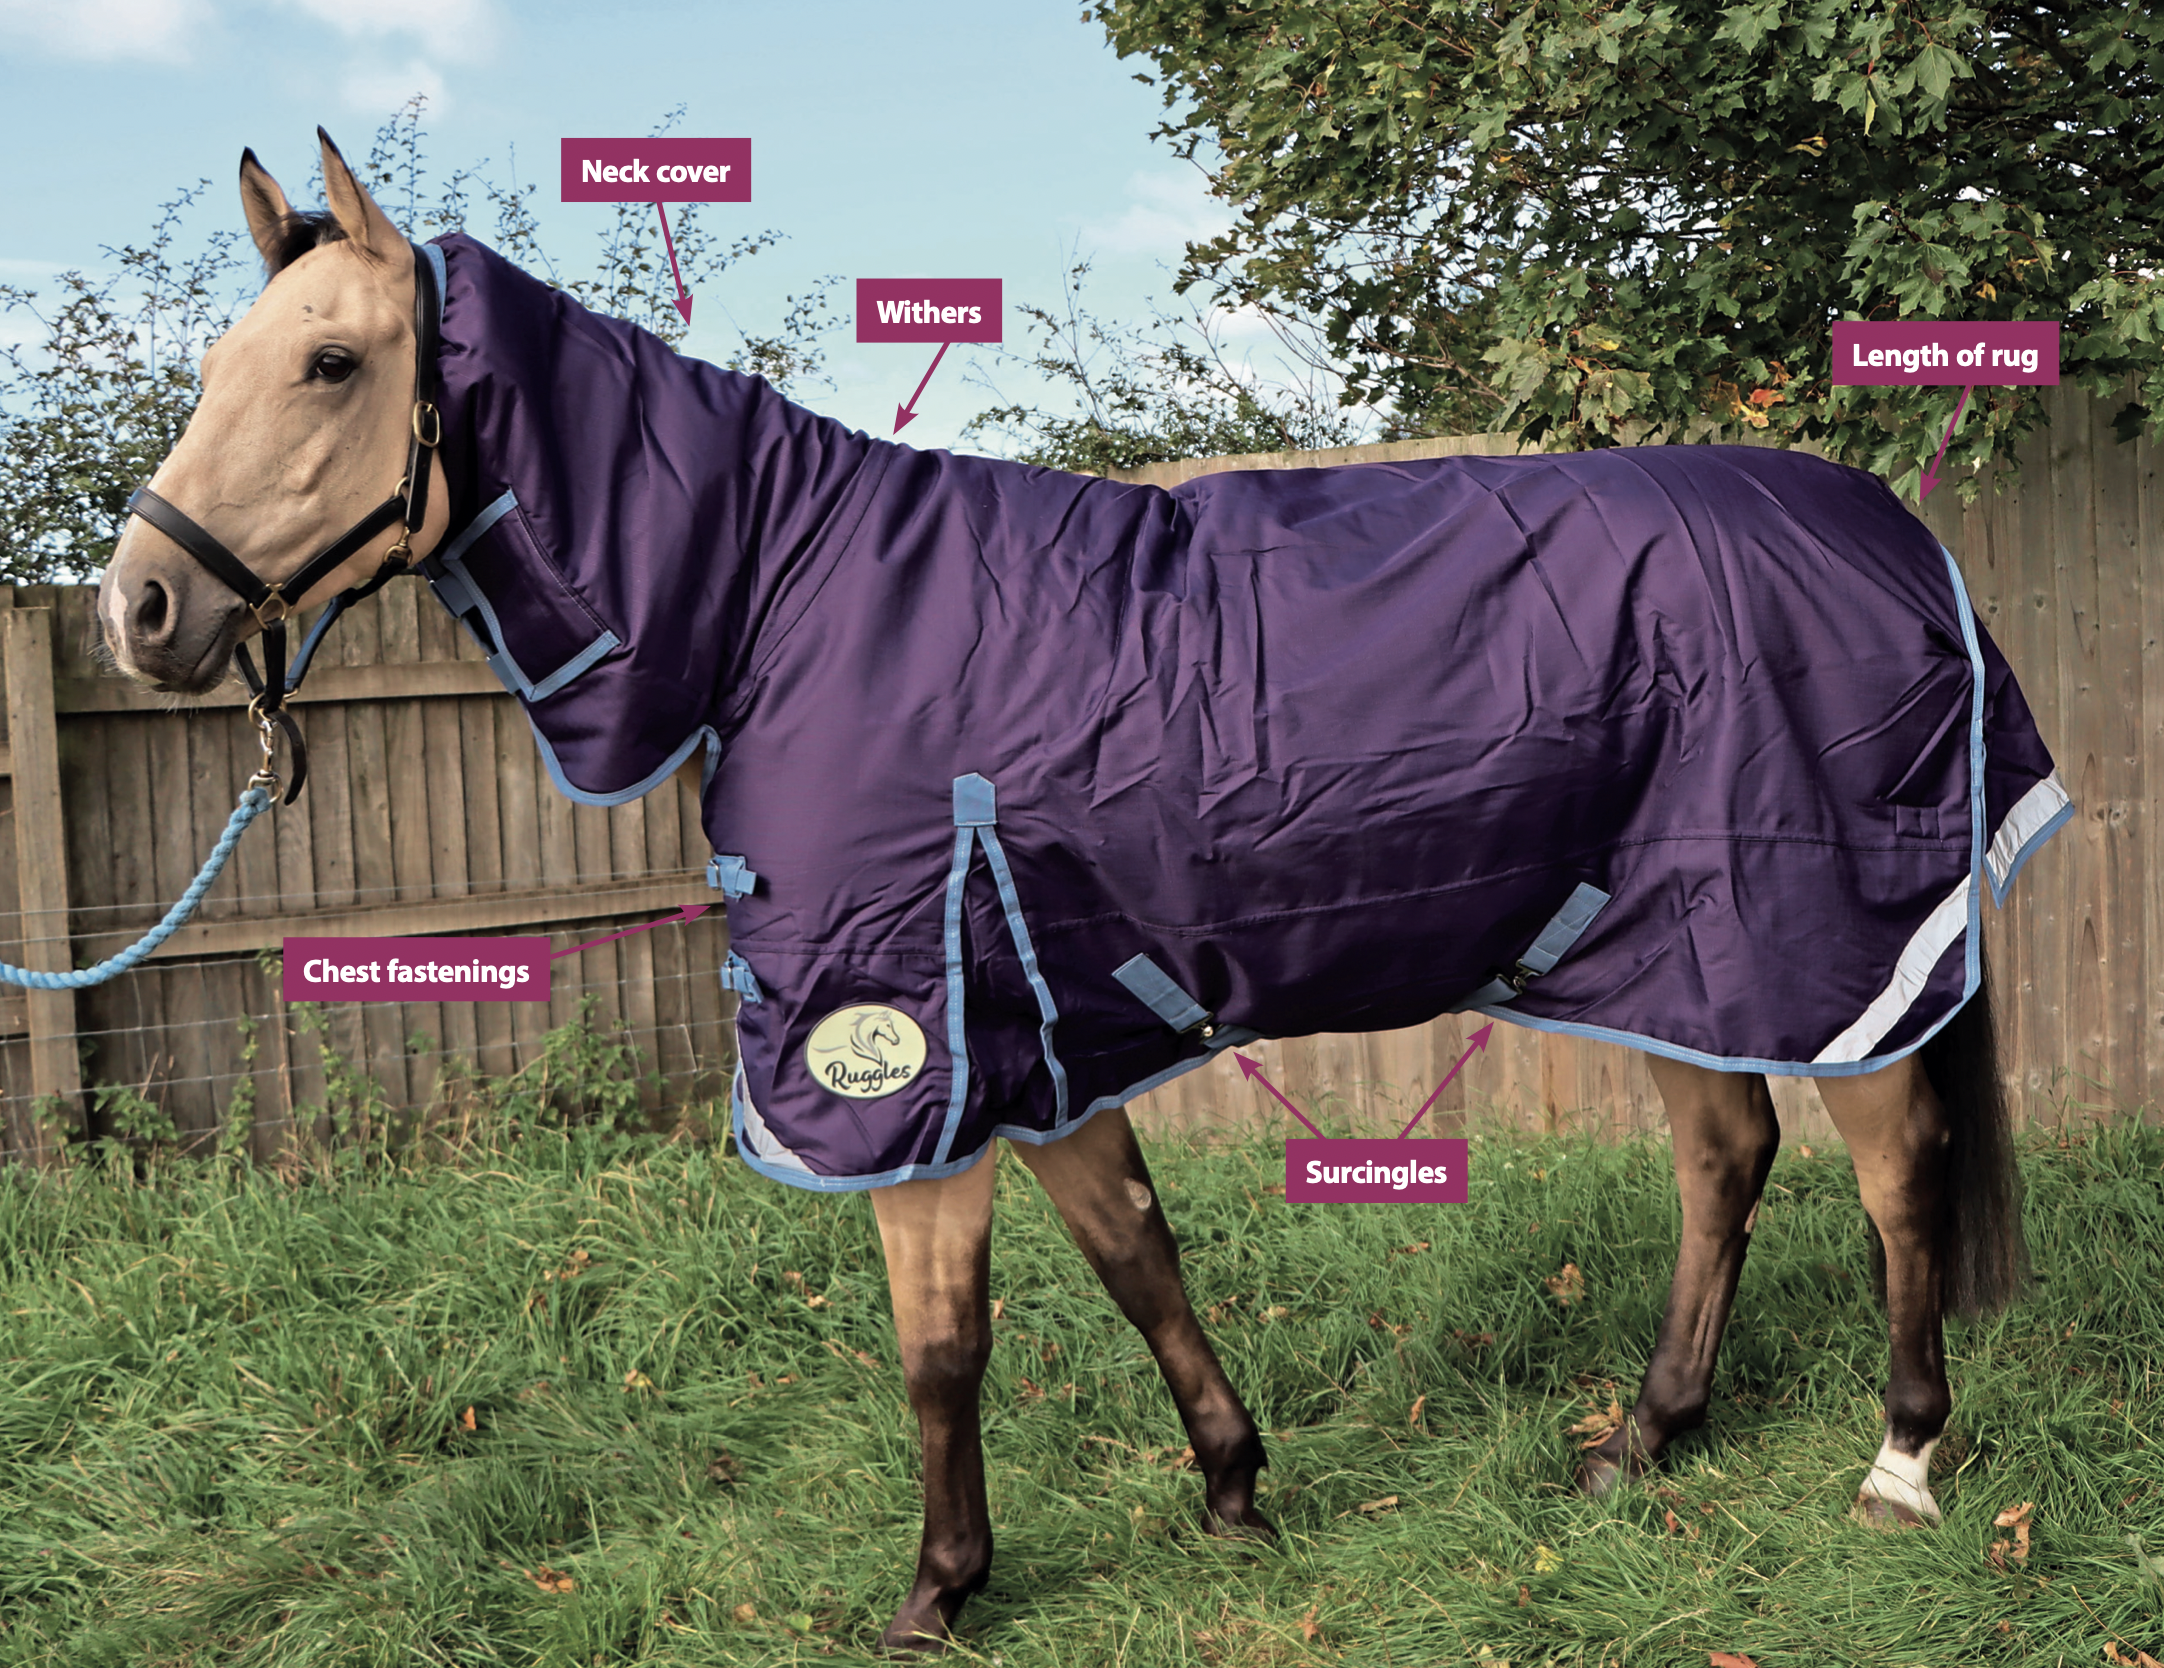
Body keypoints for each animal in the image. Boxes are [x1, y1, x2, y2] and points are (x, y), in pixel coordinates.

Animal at [98, 131, 2071, 1652]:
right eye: (211, 368)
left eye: (329, 367)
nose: (141, 607)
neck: (783, 602)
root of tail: (1890, 529)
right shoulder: (1035, 1030)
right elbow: (1134, 1252)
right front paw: (1232, 1487)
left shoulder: (908, 1048)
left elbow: (938, 1346)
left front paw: (934, 1592)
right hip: (1671, 944)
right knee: (1721, 1158)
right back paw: (1643, 1439)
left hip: (1814, 936)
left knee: (1894, 1176)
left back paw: (1899, 1460)